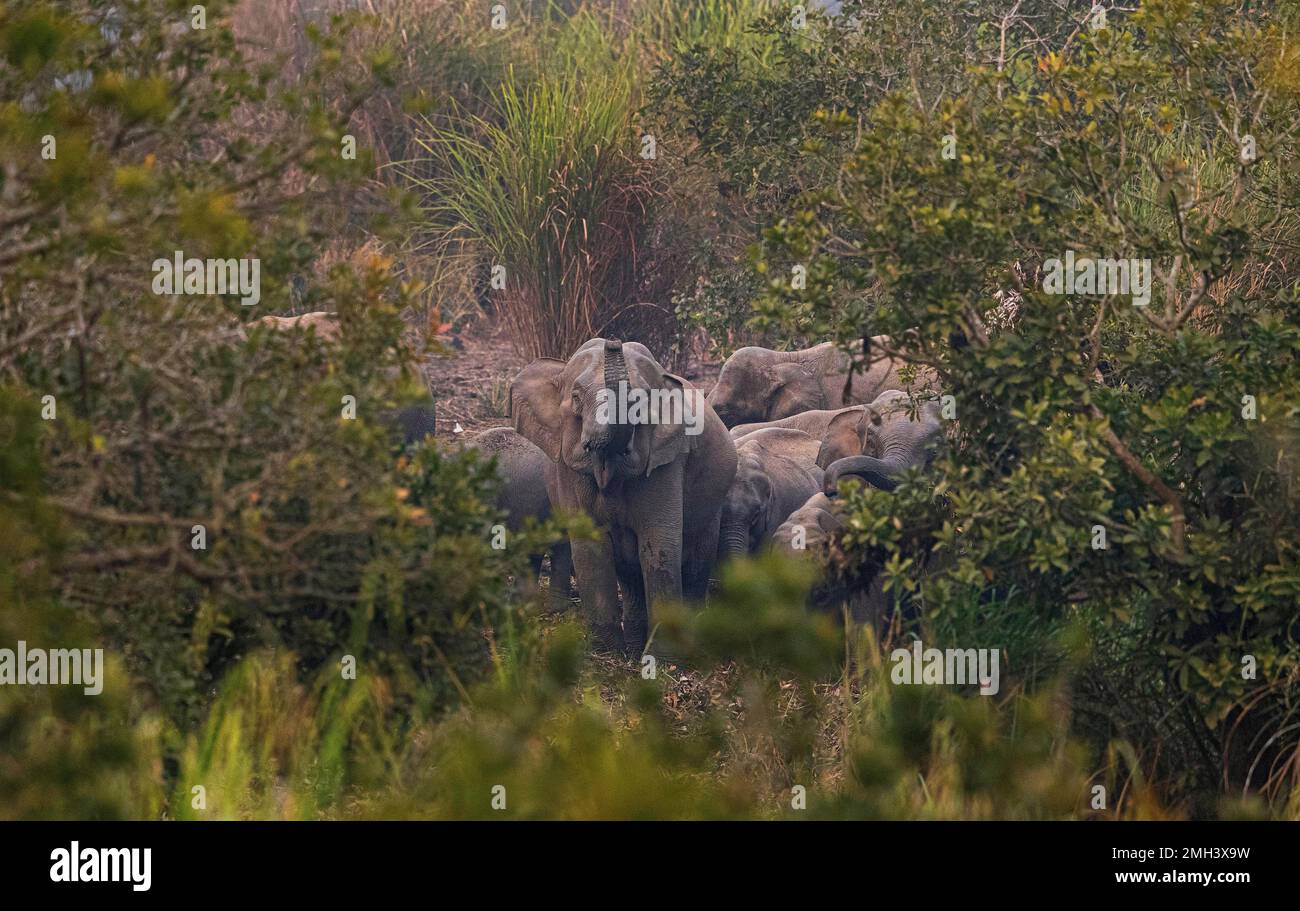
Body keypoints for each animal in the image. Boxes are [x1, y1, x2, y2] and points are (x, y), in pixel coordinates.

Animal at [511, 338, 738, 656]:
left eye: (640, 402)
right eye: (577, 397)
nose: (613, 342)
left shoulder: (666, 462)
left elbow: (659, 546)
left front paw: (662, 658)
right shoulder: (568, 471)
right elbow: (591, 549)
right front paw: (606, 653)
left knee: (696, 560)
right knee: (629, 573)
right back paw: (632, 645)